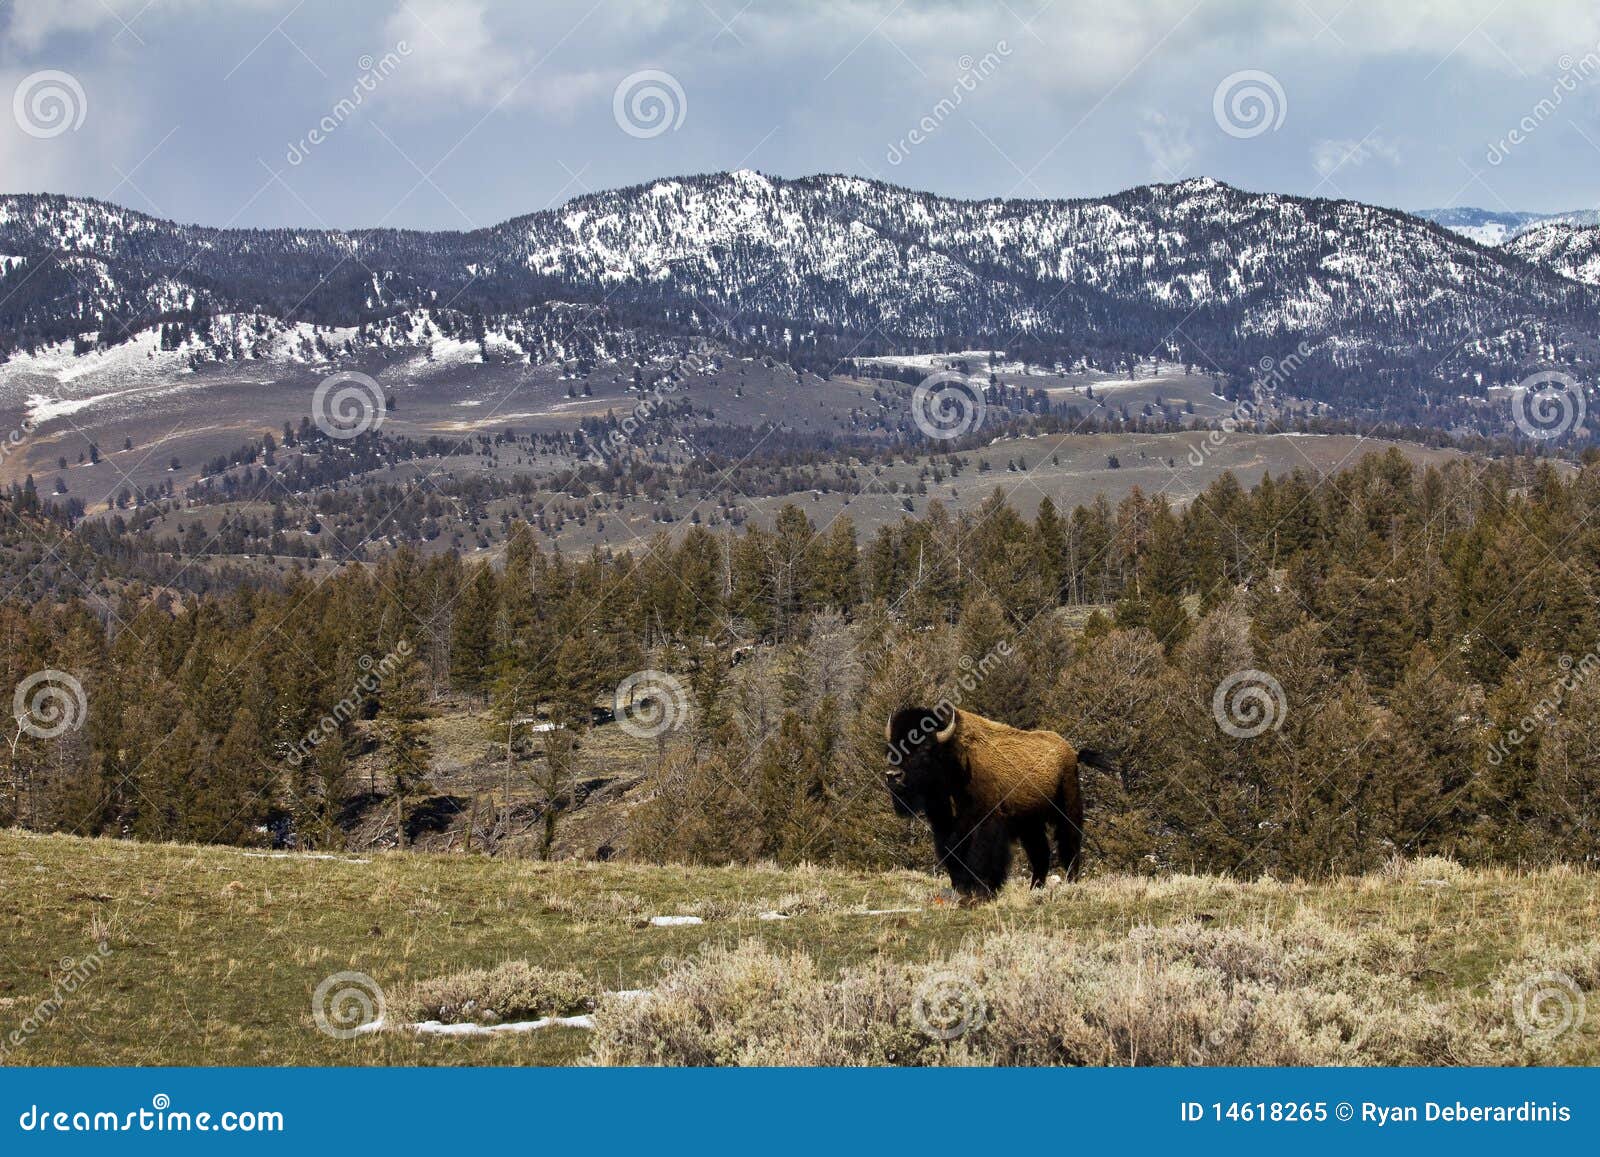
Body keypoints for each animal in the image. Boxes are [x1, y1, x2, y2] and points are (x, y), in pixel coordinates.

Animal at [884, 705, 1114, 898]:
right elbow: (952, 852)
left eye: (925, 749)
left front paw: (982, 891)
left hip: (1068, 807)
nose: (893, 775)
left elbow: (980, 856)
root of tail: (1071, 751)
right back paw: (1034, 889)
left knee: (1070, 843)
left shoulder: (985, 823)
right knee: (1041, 853)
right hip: (1030, 824)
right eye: (892, 745)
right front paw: (961, 888)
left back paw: (1070, 882)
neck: (955, 760)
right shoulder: (945, 826)